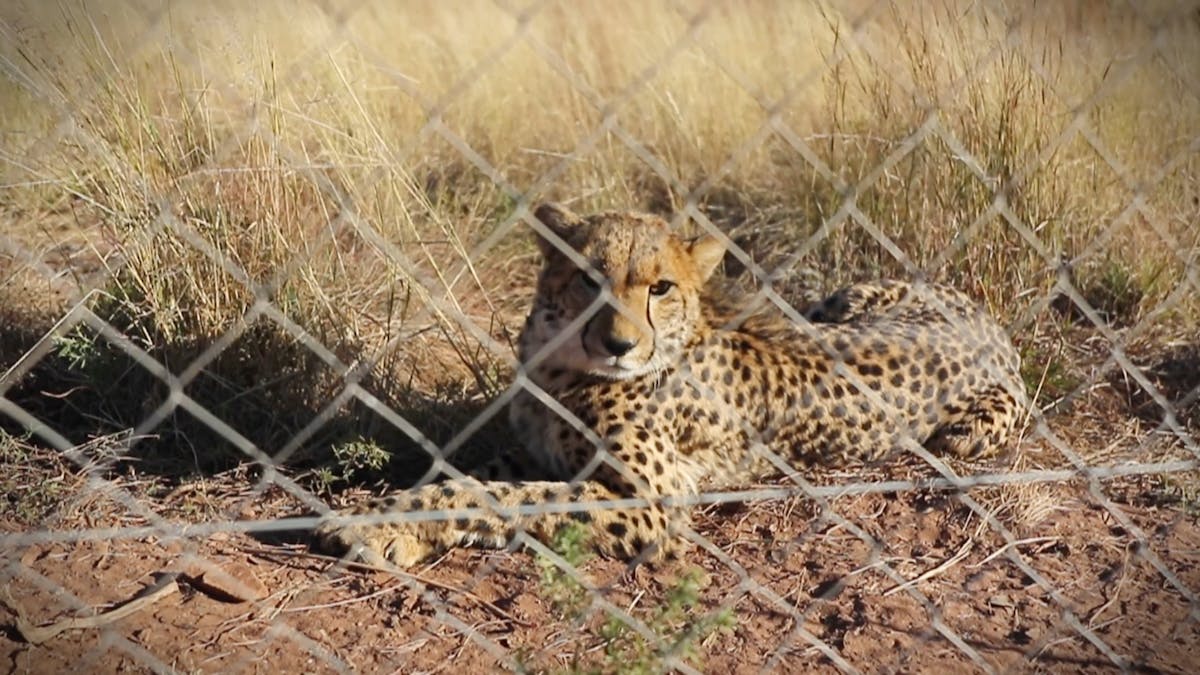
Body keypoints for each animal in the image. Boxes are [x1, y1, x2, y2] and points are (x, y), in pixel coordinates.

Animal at [315, 202, 1026, 567]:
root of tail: (989, 323)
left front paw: (375, 524)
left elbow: (505, 498)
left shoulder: (654, 501)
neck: (559, 368)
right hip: (835, 301)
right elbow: (478, 475)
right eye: (587, 279)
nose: (620, 344)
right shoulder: (537, 447)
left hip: (963, 433)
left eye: (660, 287)